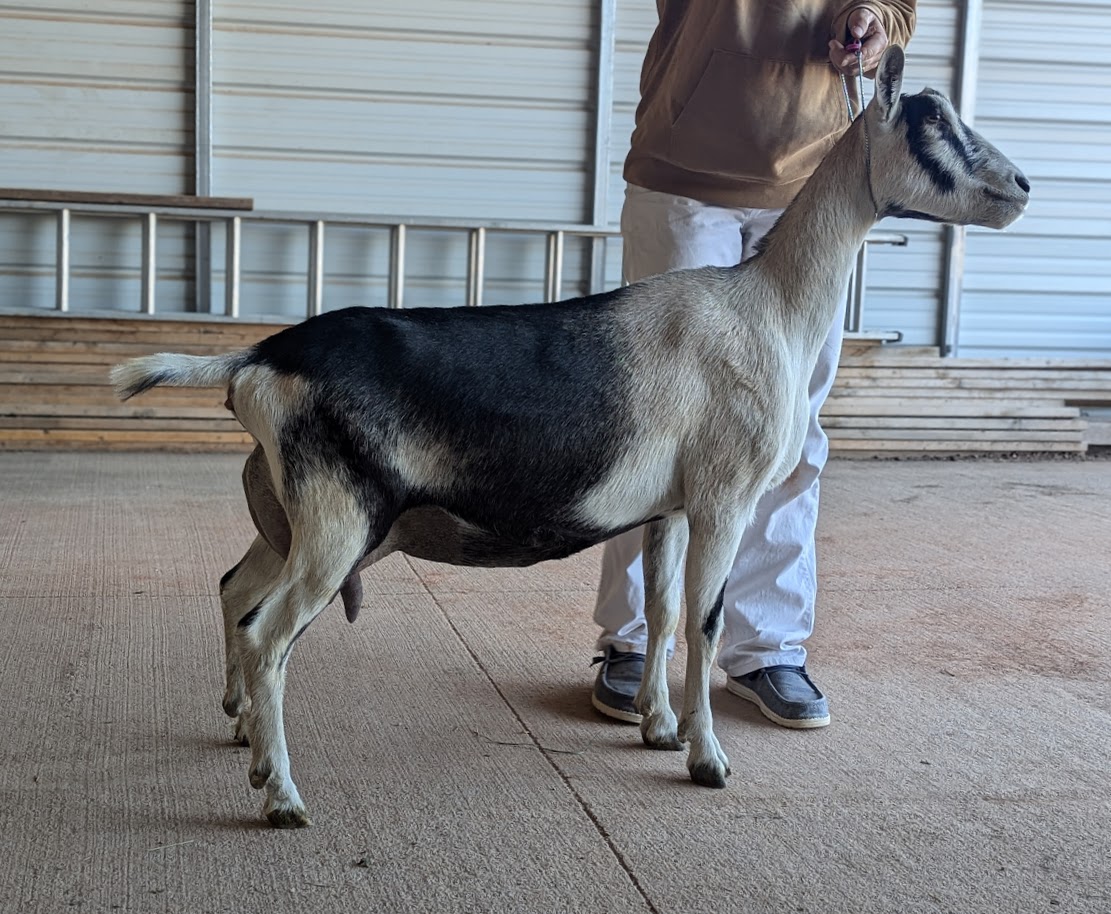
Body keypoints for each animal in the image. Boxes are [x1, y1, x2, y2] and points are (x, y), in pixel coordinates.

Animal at [111, 47, 1029, 829]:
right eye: (933, 123)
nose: (1021, 185)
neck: (764, 306)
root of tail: (258, 360)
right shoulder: (724, 496)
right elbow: (705, 620)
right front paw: (706, 759)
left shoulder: (670, 508)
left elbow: (661, 610)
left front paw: (657, 727)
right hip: (339, 521)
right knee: (267, 635)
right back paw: (282, 798)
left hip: (290, 515)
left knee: (234, 591)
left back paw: (244, 736)